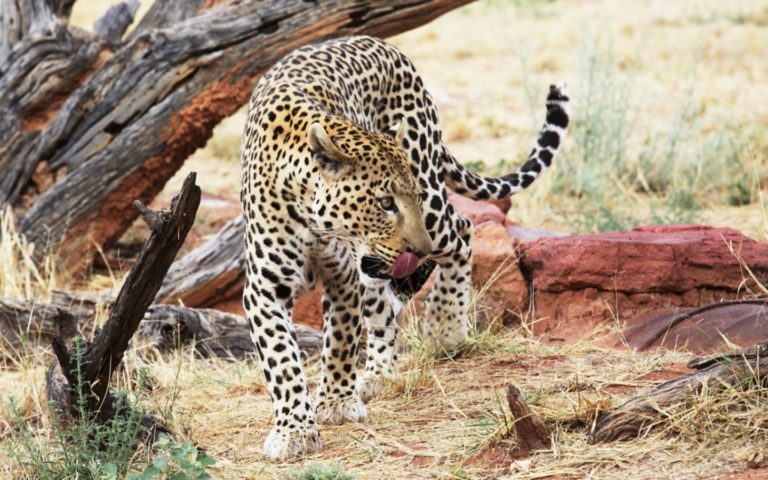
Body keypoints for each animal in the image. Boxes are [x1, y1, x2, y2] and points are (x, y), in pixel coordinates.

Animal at [239, 35, 570, 461]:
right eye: (384, 203)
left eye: (407, 196)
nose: (419, 248)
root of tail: (383, 44)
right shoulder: (266, 286)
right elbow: (281, 359)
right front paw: (295, 429)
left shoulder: (343, 274)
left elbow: (341, 341)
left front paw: (336, 403)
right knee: (383, 305)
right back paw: (379, 371)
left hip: (431, 197)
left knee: (462, 231)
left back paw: (445, 325)